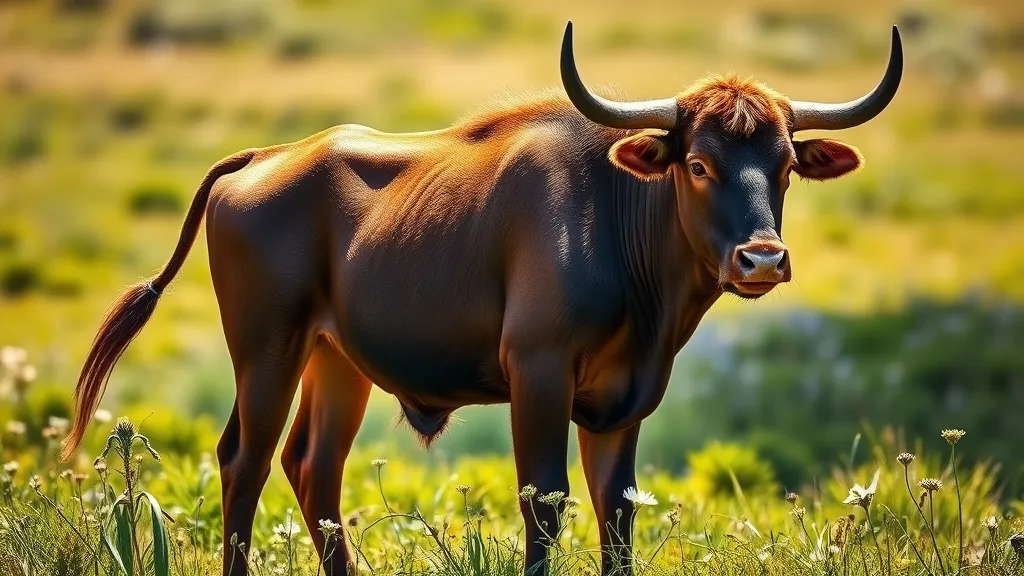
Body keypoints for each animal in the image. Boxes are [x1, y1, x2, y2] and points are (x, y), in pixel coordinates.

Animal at [62, 21, 901, 576]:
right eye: (697, 163)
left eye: (786, 164)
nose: (763, 258)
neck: (615, 218)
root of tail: (267, 156)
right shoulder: (538, 373)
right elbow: (545, 500)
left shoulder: (623, 400)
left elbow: (617, 509)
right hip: (267, 352)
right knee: (247, 462)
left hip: (337, 363)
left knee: (312, 466)